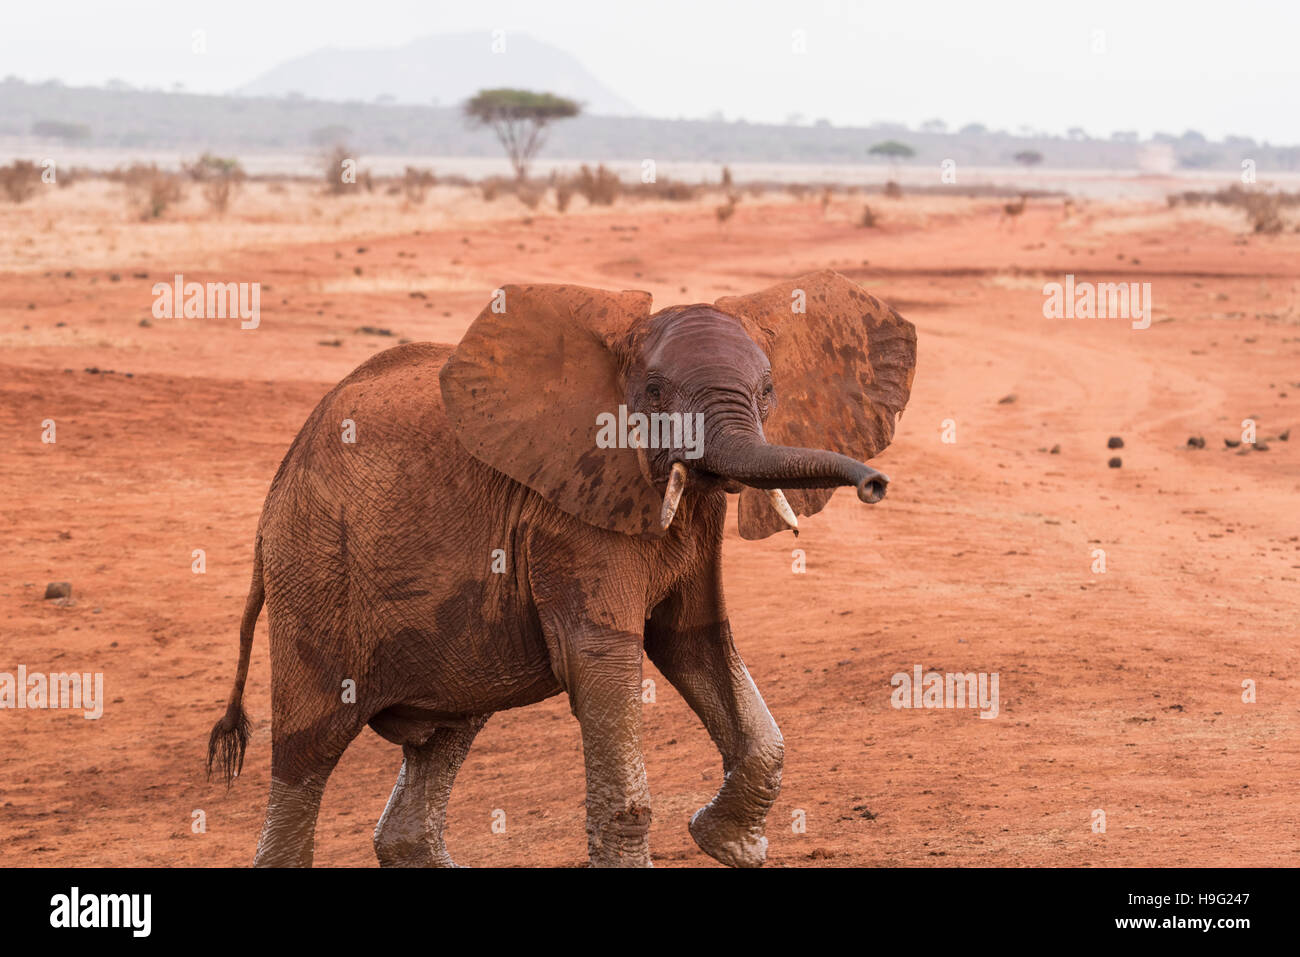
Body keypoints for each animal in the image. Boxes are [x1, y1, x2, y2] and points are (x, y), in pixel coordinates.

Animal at [207, 268, 916, 867]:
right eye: (653, 392)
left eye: (769, 391)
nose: (876, 485)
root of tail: (278, 483)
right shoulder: (567, 512)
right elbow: (602, 665)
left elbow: (695, 645)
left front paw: (730, 844)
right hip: (315, 568)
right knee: (309, 750)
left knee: (441, 740)